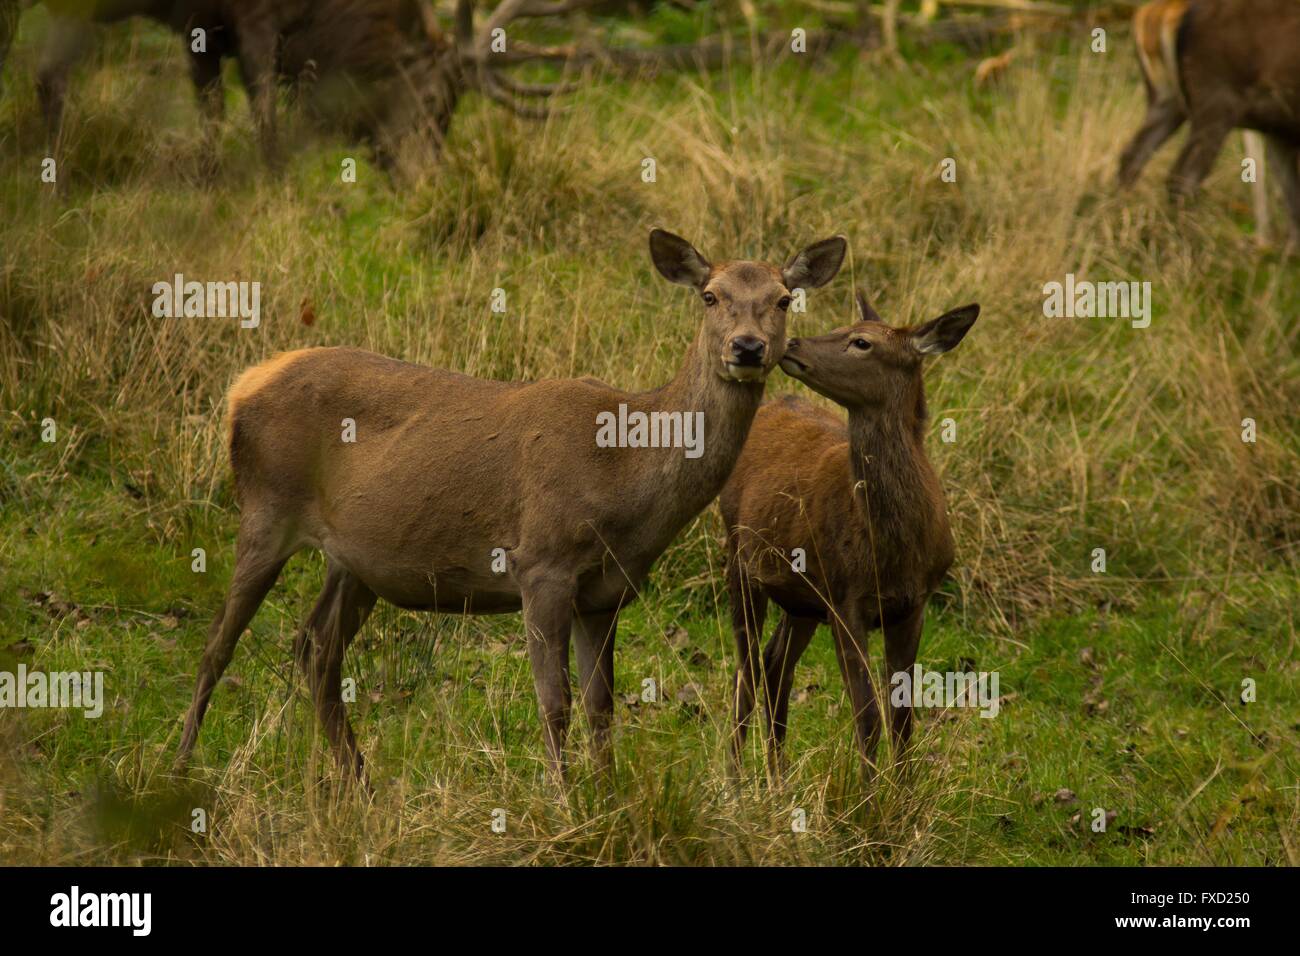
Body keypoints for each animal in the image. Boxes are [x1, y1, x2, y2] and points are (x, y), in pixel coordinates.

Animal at [174, 228, 848, 784]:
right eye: (710, 296)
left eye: (784, 299)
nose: (747, 347)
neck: (626, 475)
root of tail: (241, 387)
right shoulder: (541, 561)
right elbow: (555, 704)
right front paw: (565, 802)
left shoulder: (607, 591)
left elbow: (602, 707)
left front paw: (609, 799)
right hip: (265, 506)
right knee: (216, 646)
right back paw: (179, 770)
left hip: (355, 560)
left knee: (315, 647)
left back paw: (359, 782)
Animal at [720, 291, 978, 782]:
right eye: (842, 327)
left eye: (861, 341)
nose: (793, 343)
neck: (893, 549)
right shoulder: (844, 598)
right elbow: (868, 714)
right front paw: (866, 795)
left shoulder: (913, 604)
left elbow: (902, 716)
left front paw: (902, 792)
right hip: (739, 557)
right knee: (746, 673)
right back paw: (737, 781)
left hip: (802, 596)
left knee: (774, 664)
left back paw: (778, 778)